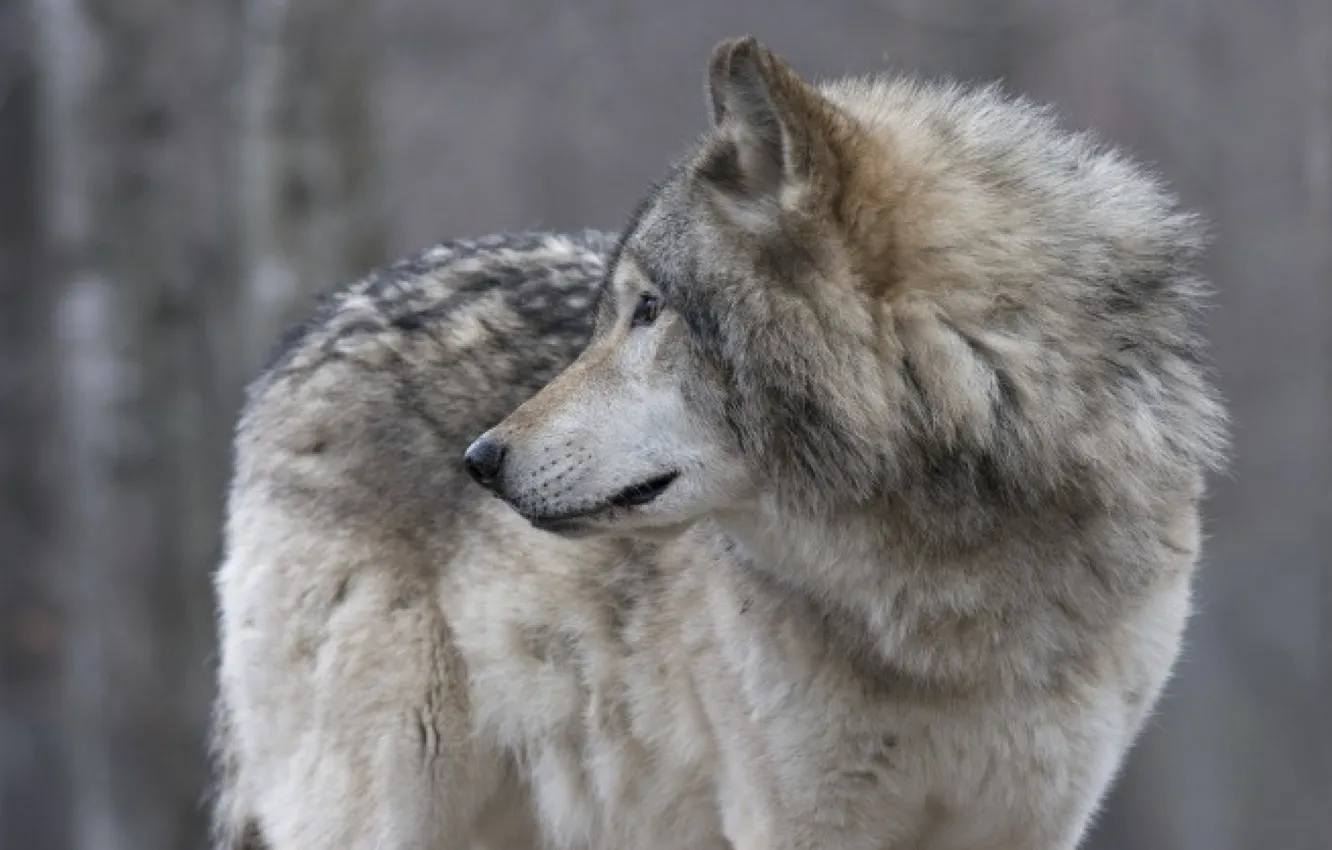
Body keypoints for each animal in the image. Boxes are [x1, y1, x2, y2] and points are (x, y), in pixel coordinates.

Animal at [213, 36, 1227, 850]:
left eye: (649, 310)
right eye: (615, 311)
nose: (481, 461)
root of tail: (305, 337)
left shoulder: (1037, 821)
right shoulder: (796, 822)